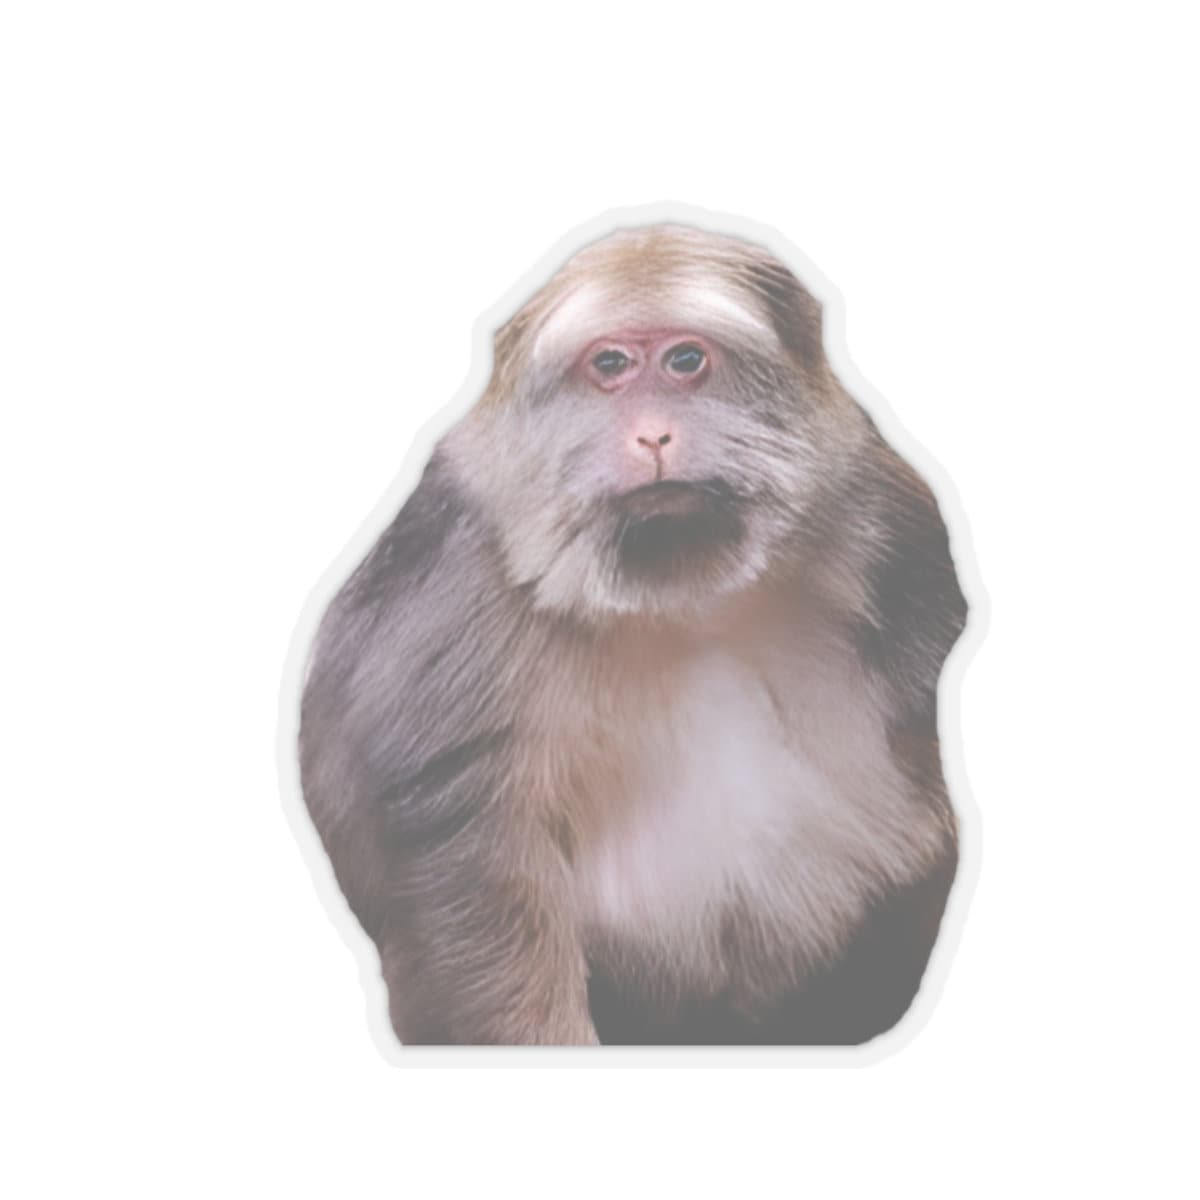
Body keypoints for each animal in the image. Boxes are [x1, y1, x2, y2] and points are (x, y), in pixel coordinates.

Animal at [297, 223, 968, 1046]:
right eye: (611, 365)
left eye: (685, 361)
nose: (654, 434)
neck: (682, 594)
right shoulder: (454, 587)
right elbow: (467, 857)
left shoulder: (893, 533)